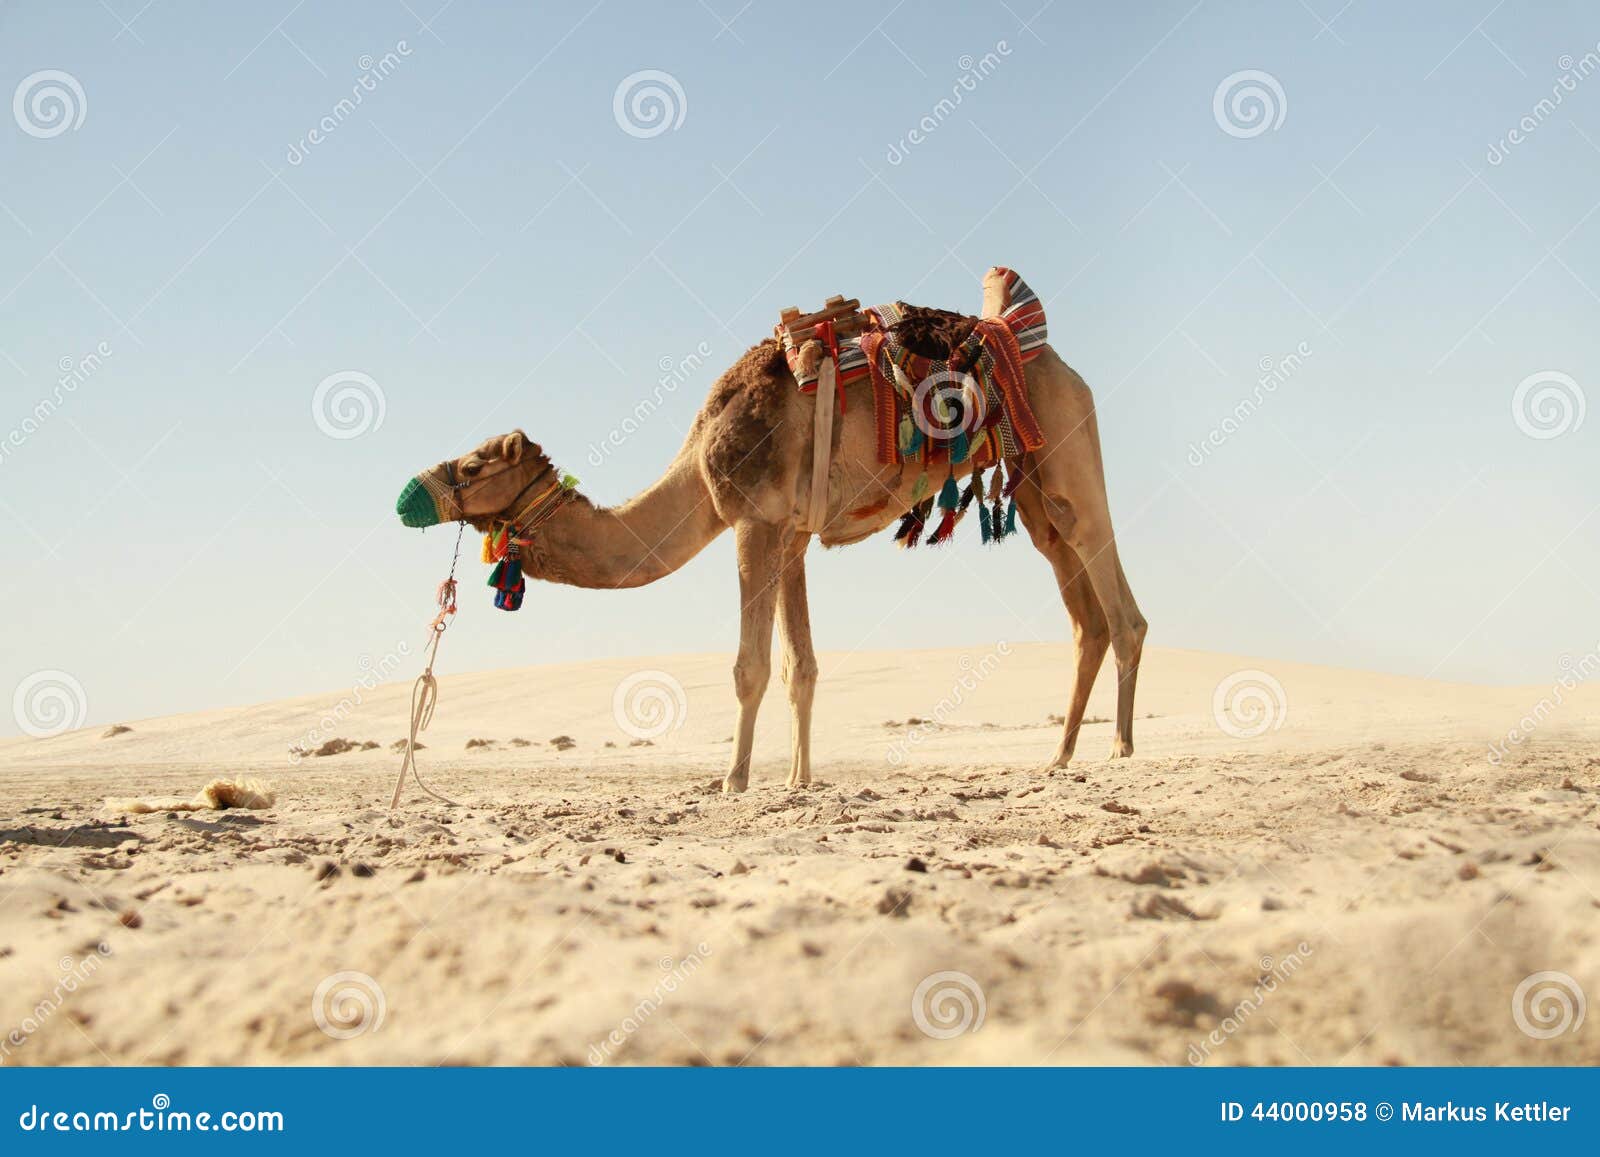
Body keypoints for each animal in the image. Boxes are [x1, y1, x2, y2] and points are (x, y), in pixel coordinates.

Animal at [395, 271, 1147, 793]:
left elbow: (750, 666)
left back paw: (1121, 749)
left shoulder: (752, 522)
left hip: (1068, 446)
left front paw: (733, 779)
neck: (699, 472)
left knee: (1117, 597)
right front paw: (798, 779)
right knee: (1082, 608)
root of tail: (1053, 359)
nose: (409, 494)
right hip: (1031, 481)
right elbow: (800, 666)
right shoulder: (791, 537)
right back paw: (1060, 755)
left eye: (471, 464)